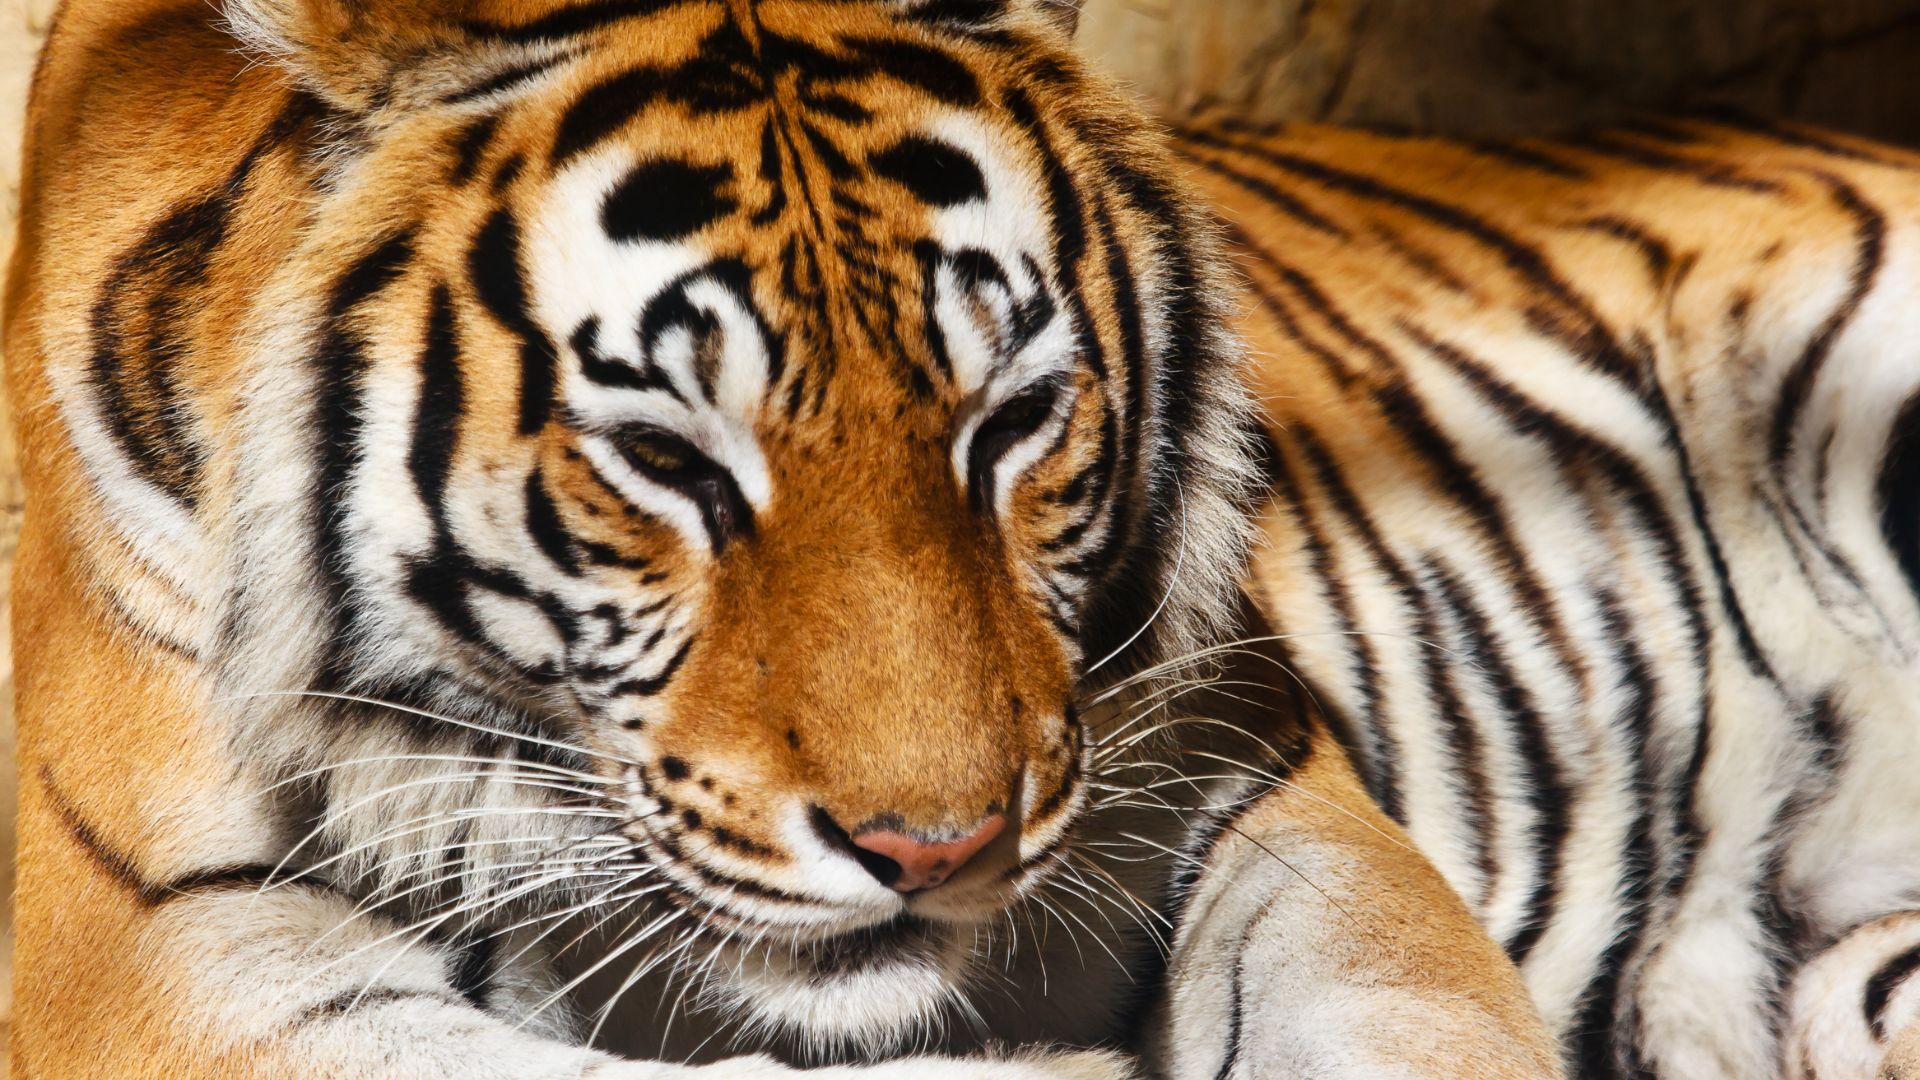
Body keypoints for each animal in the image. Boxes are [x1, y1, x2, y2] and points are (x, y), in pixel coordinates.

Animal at [4, 0, 1560, 1077]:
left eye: (1012, 422)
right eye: (663, 460)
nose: (937, 851)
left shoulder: (1245, 768)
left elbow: (1402, 998)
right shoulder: (167, 942)